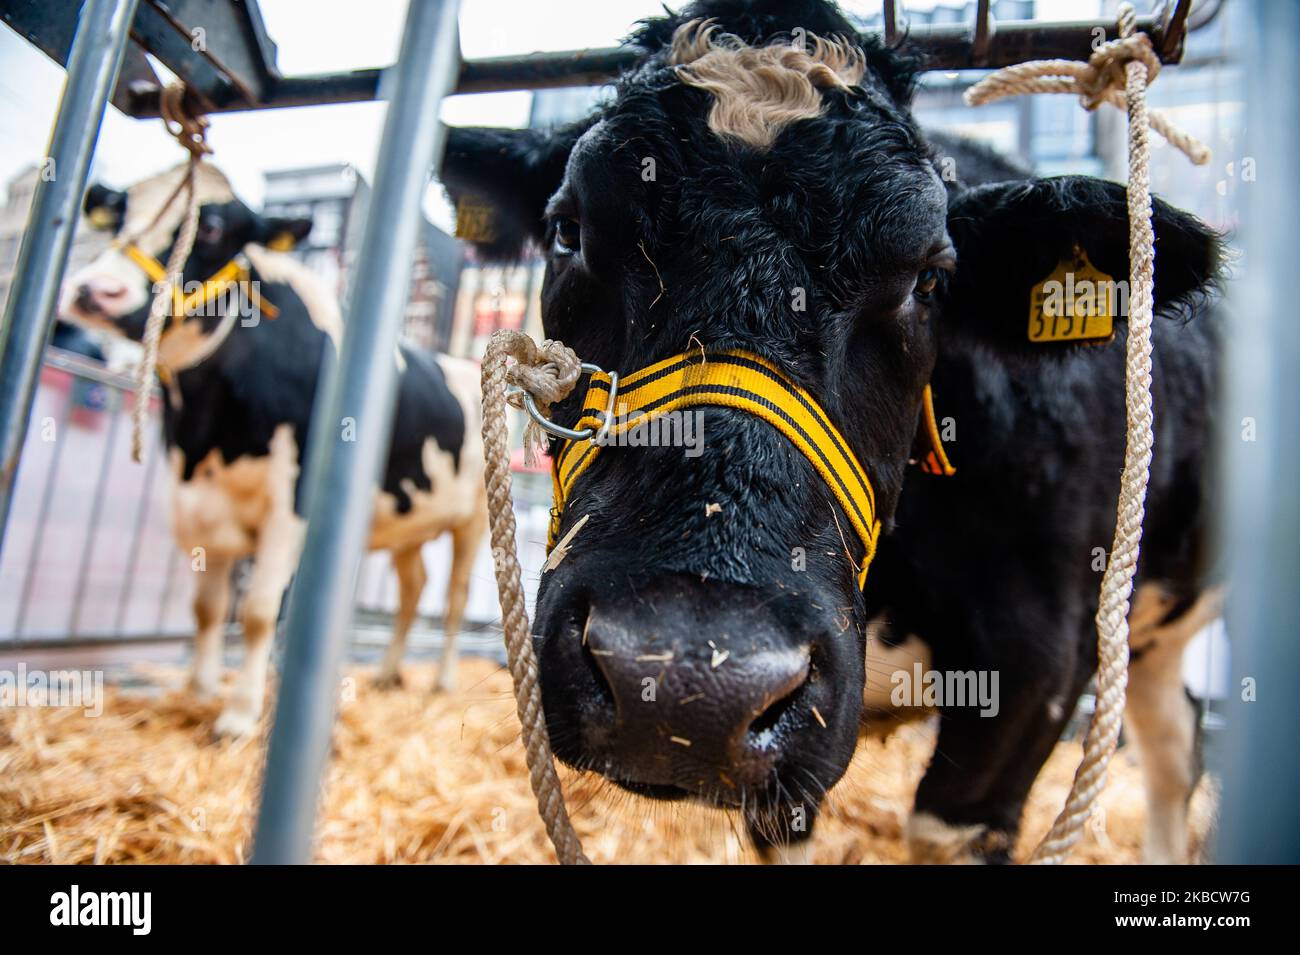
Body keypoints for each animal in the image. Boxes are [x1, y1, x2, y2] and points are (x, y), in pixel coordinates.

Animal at [59, 162, 488, 738]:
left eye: (211, 227)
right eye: (122, 211)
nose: (94, 290)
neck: (206, 433)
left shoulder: (292, 508)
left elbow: (259, 610)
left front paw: (238, 716)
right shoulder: (202, 506)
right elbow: (208, 607)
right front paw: (200, 689)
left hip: (474, 521)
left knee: (455, 598)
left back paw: (440, 681)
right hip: (410, 519)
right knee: (413, 588)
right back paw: (388, 673)